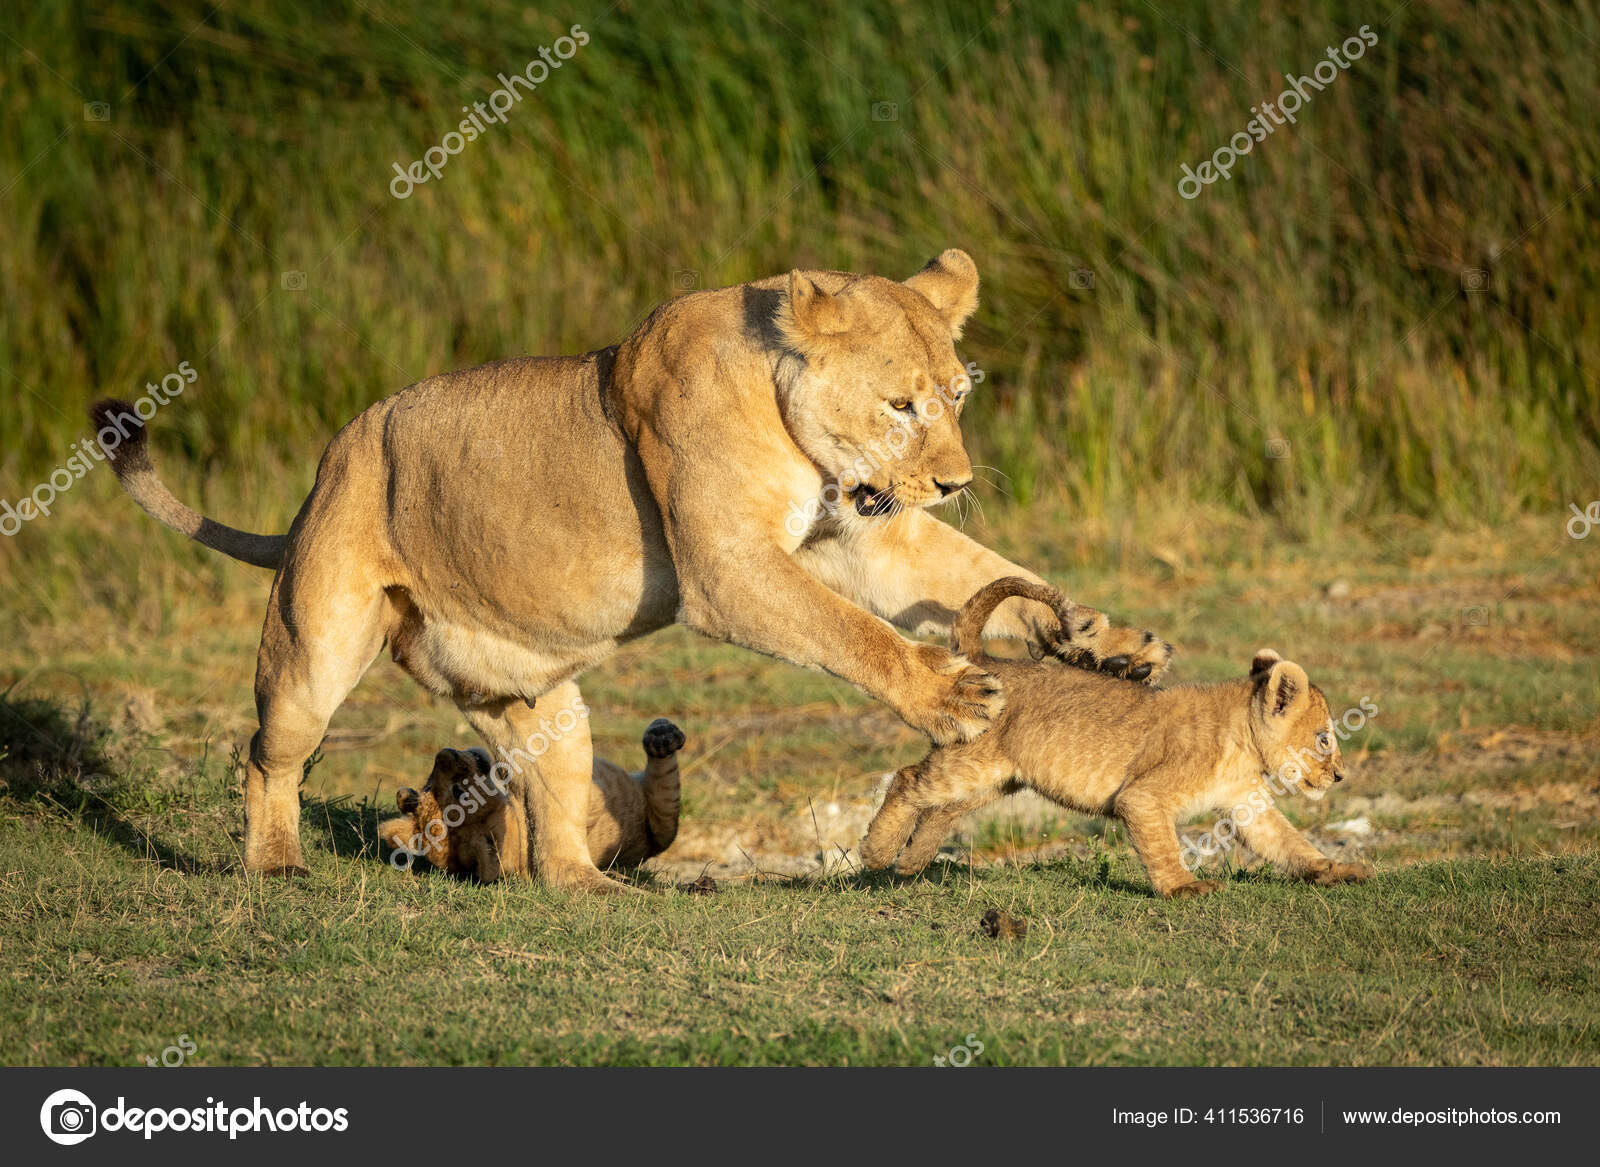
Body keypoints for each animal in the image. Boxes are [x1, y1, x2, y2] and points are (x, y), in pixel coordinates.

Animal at [378, 718, 686, 880]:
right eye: (461, 794)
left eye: (428, 784)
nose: (444, 753)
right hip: (661, 819)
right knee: (665, 783)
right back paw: (662, 736)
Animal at [860, 577, 1373, 898]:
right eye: (1325, 739)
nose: (1341, 776)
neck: (1243, 741)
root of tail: (986, 660)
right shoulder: (1143, 797)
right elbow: (1163, 846)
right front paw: (1184, 888)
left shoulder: (1248, 805)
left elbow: (1291, 845)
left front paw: (1340, 870)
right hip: (970, 765)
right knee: (907, 781)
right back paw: (878, 852)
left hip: (995, 779)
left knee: (942, 809)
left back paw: (911, 863)